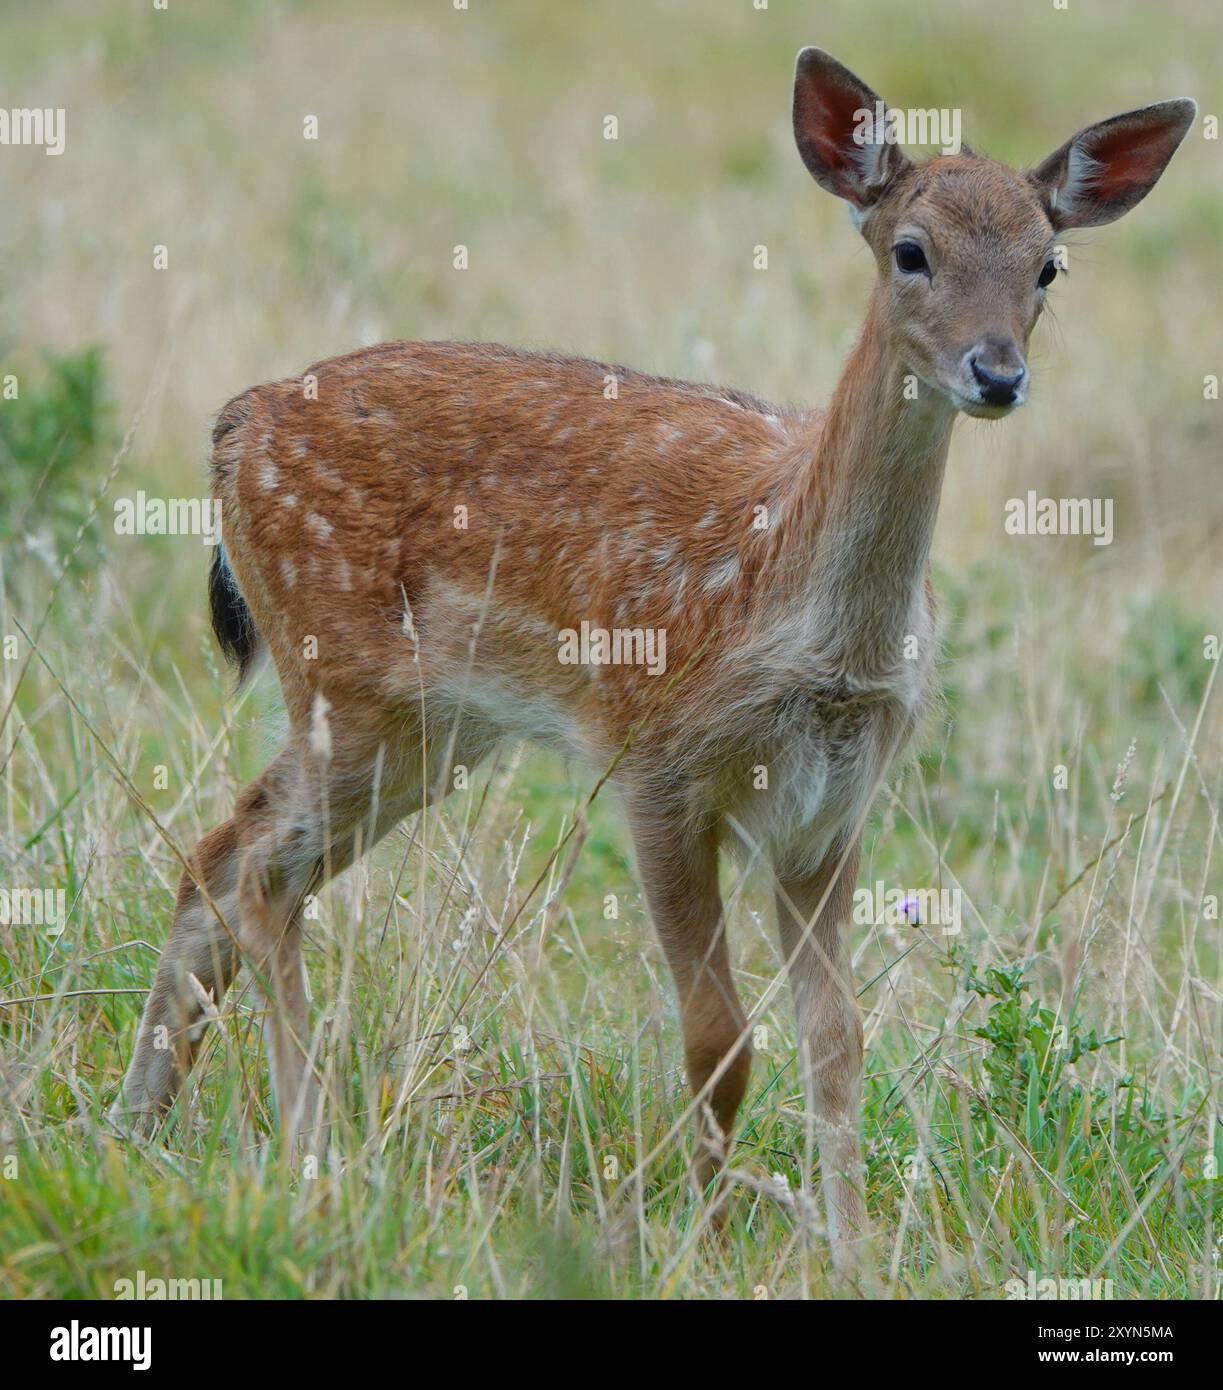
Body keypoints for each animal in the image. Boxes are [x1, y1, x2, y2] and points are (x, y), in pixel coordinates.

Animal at [109, 47, 1195, 1272]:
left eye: (1046, 264)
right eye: (910, 250)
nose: (996, 372)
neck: (798, 612)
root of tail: (232, 430)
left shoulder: (832, 809)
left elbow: (837, 1036)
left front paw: (850, 1252)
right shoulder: (658, 764)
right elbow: (717, 1037)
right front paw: (708, 1239)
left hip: (426, 726)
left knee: (221, 853)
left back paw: (138, 1126)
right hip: (347, 676)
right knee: (257, 870)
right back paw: (308, 1150)